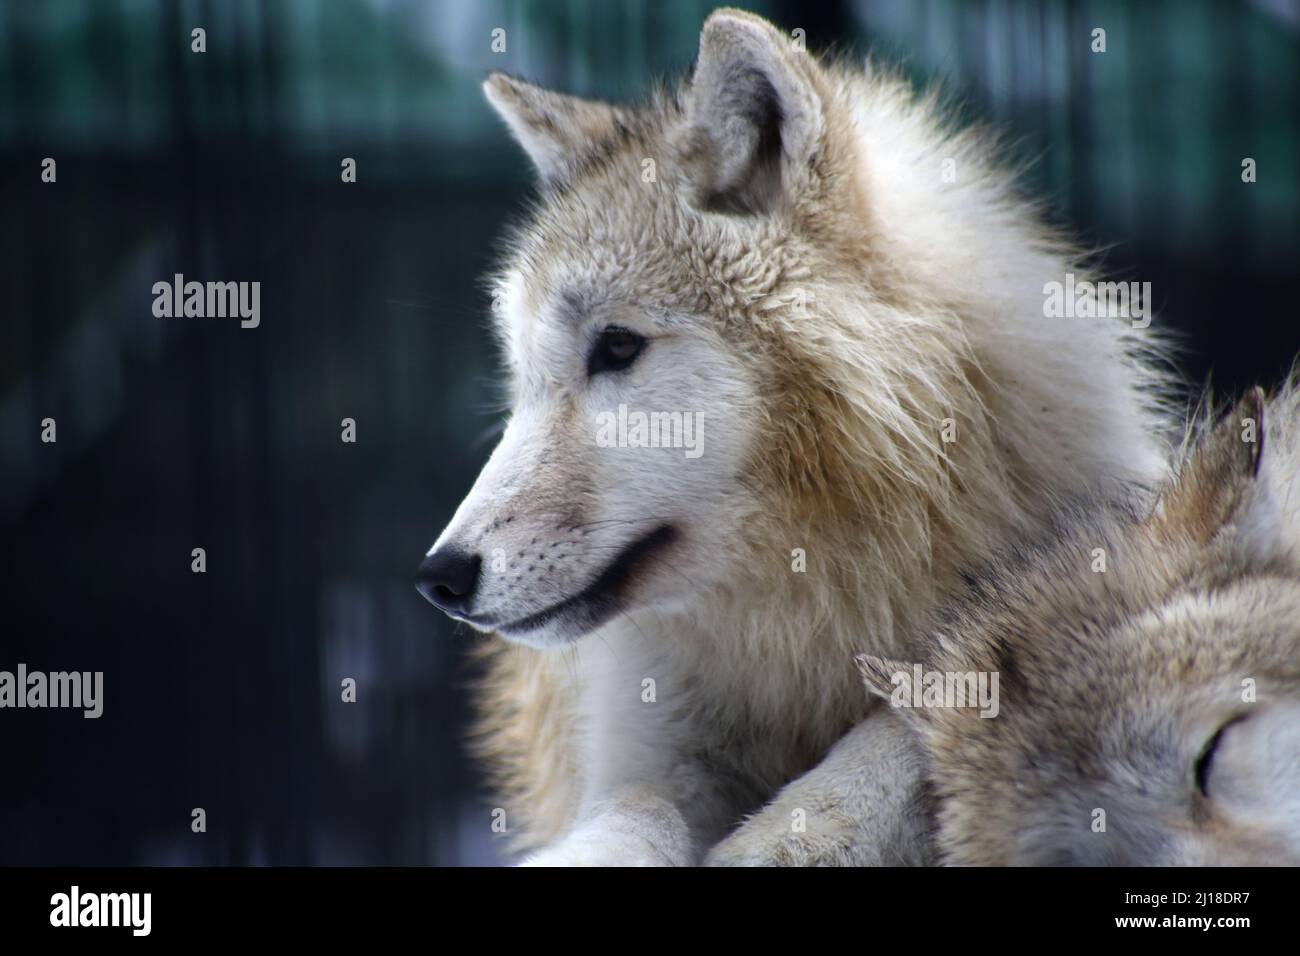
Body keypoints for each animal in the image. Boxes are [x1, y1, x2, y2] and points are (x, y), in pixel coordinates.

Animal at [416, 8, 1170, 865]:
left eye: (617, 346)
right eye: (524, 379)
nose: (441, 577)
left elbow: (897, 738)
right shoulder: (649, 754)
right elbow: (636, 817)